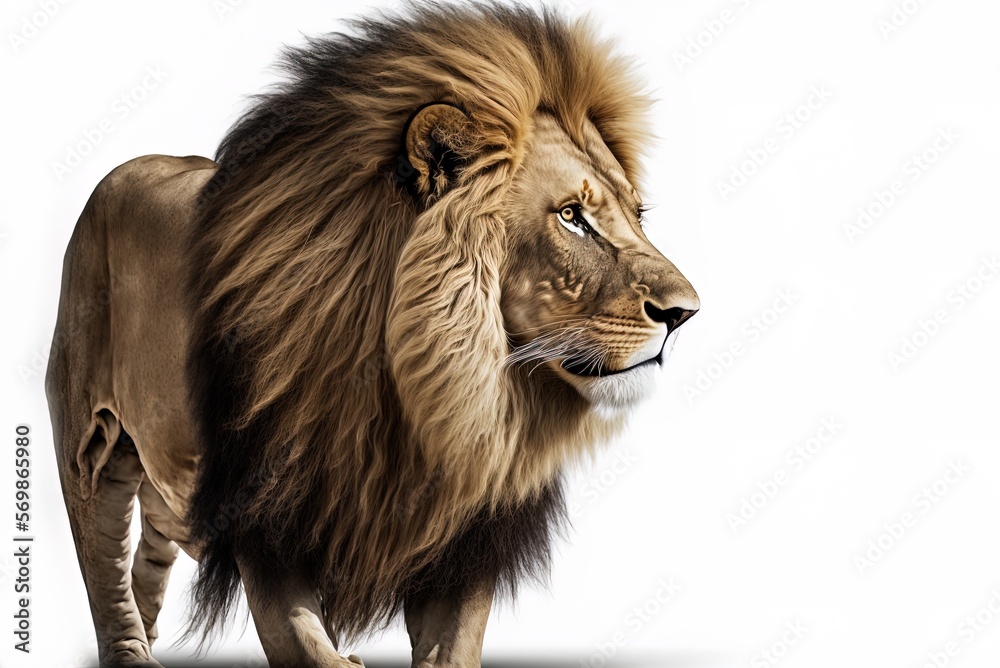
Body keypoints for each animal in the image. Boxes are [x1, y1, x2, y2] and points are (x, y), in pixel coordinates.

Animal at [45, 3, 699, 667]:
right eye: (571, 216)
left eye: (636, 214)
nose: (685, 313)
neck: (427, 398)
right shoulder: (265, 520)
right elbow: (307, 644)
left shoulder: (464, 545)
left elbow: (451, 648)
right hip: (88, 439)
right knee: (103, 558)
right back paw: (128, 647)